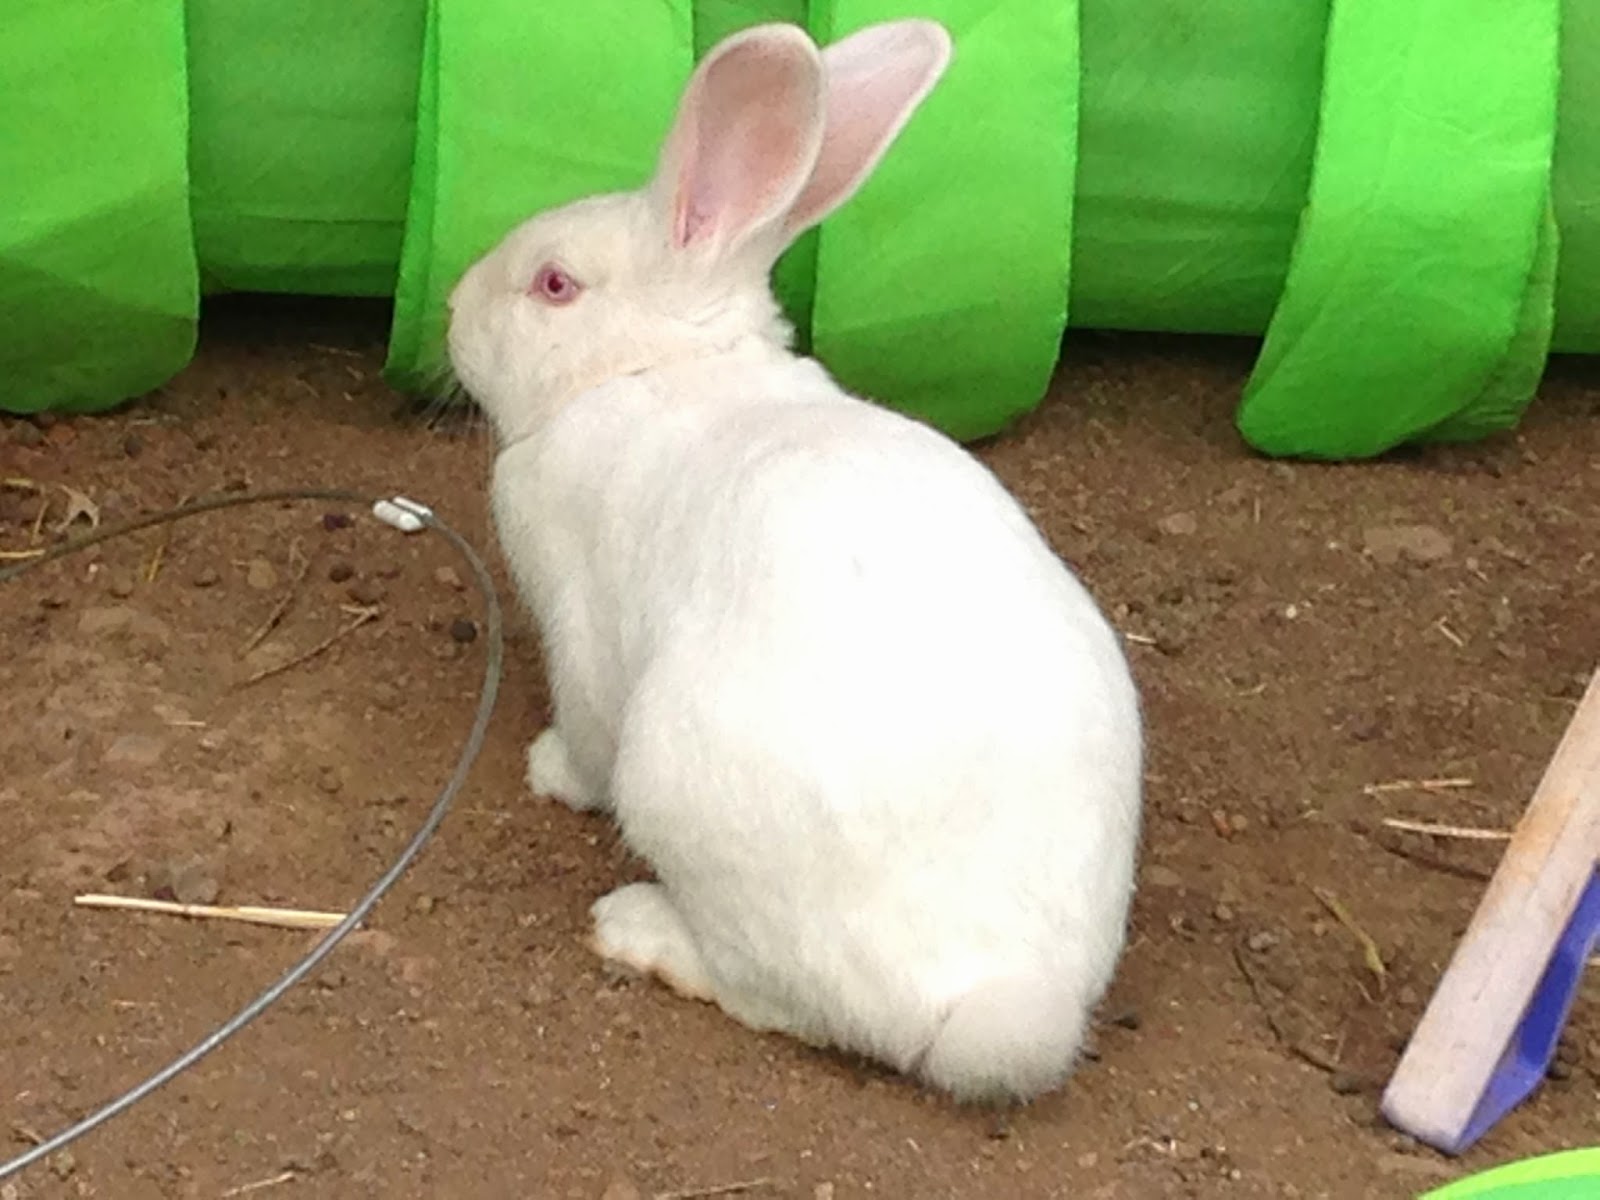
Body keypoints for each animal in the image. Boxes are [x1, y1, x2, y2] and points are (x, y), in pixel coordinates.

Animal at [445, 18, 1144, 1104]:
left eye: (553, 285)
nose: (448, 308)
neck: (658, 367)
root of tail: (989, 999)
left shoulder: (582, 628)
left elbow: (584, 729)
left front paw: (549, 771)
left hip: (677, 788)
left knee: (777, 1000)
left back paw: (635, 929)